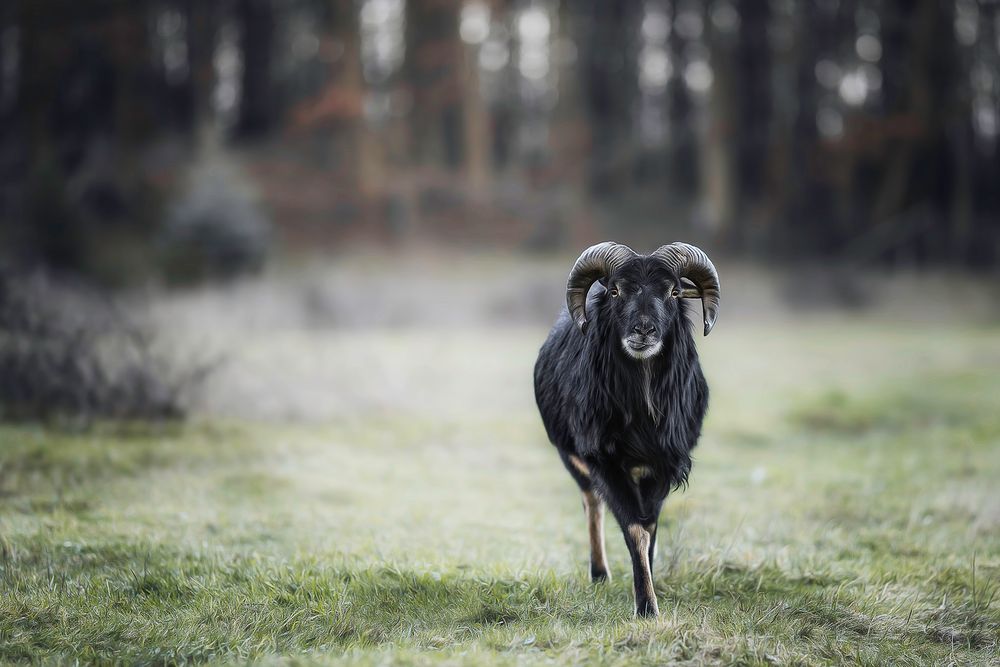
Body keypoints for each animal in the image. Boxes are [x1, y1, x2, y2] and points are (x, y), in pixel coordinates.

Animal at [533, 241, 720, 617]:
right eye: (616, 290)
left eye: (674, 292)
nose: (644, 330)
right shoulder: (605, 462)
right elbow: (634, 527)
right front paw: (647, 607)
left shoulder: (661, 466)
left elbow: (649, 527)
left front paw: (650, 585)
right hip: (572, 459)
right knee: (592, 503)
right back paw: (599, 575)